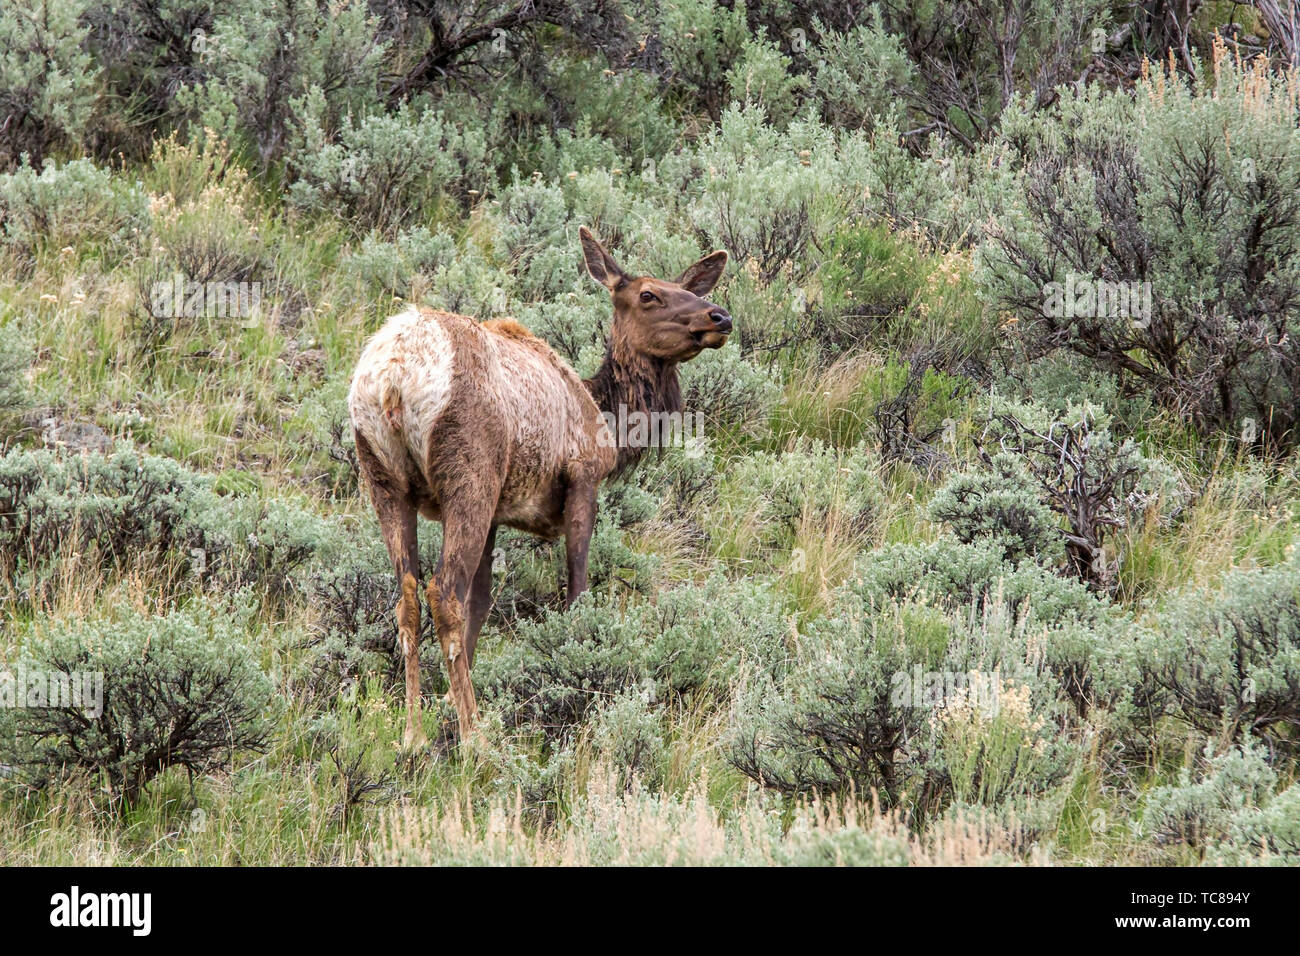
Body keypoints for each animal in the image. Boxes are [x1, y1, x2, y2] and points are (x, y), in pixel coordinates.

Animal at [347, 226, 732, 746]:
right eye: (648, 294)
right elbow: (576, 589)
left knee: (407, 596)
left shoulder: (497, 511)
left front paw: (448, 702)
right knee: (442, 592)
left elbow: (482, 602)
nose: (720, 316)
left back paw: (413, 736)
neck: (610, 423)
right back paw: (475, 740)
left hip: (385, 479)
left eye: (689, 290)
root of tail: (395, 375)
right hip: (470, 475)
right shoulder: (583, 477)